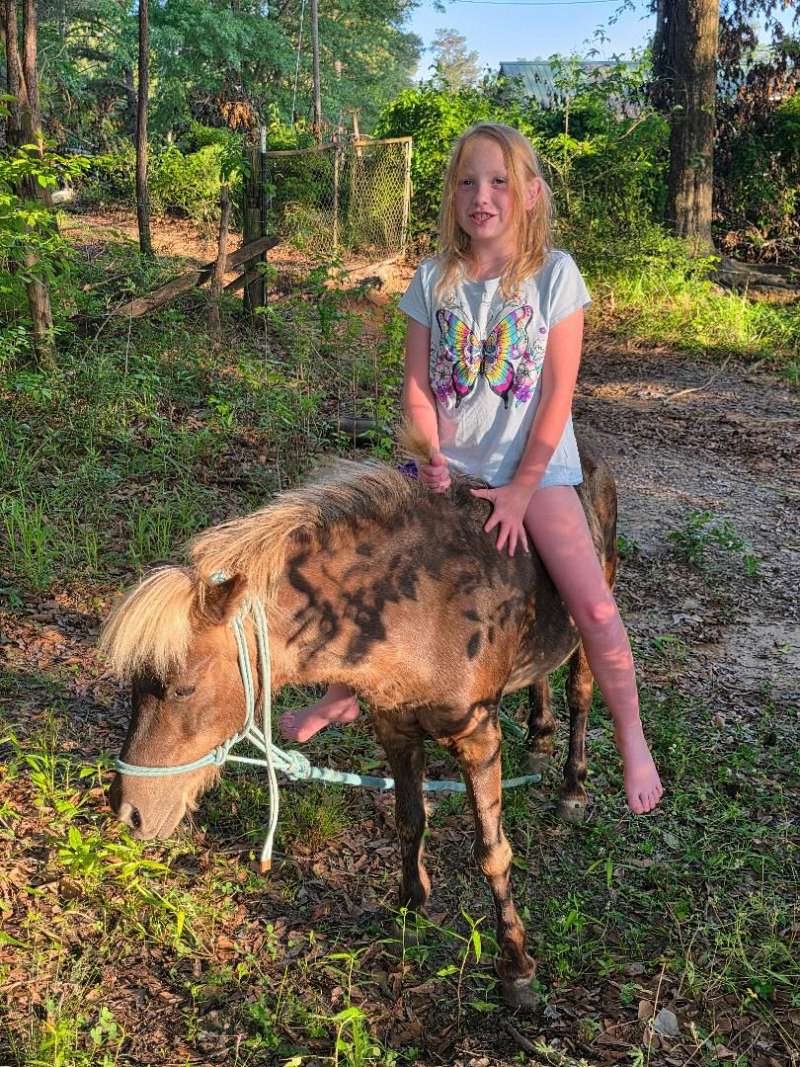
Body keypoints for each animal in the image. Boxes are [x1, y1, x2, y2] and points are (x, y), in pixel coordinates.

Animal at [101, 441, 617, 1010]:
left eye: (184, 688)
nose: (126, 811)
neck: (427, 607)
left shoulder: (477, 740)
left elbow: (491, 853)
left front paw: (516, 967)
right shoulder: (396, 728)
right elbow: (410, 820)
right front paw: (410, 909)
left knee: (580, 692)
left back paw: (572, 787)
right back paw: (540, 740)